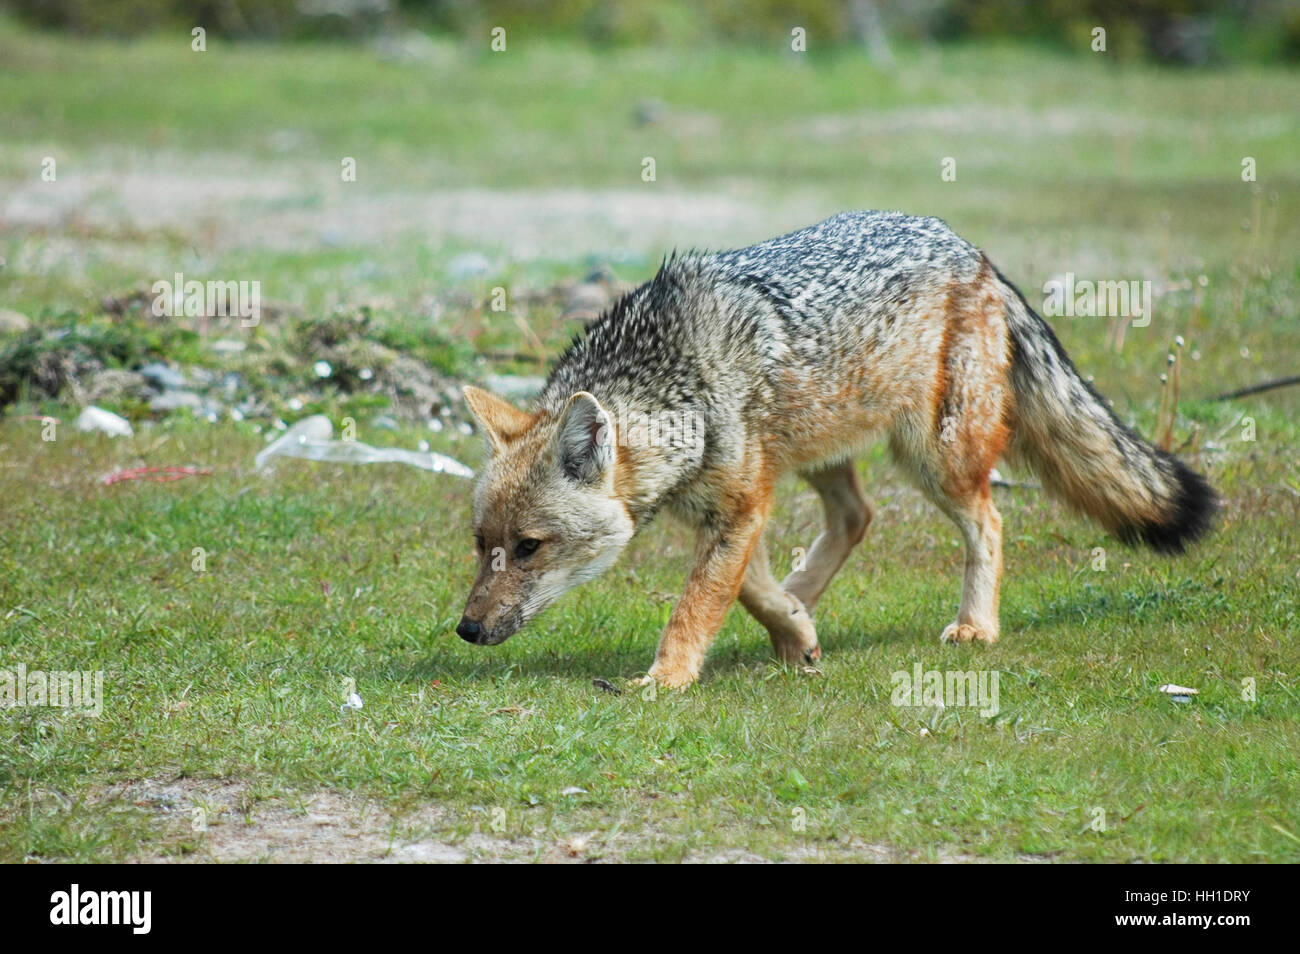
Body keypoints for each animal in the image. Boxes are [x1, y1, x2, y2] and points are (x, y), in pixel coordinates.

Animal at [457, 211, 1216, 689]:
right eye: (480, 544)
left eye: (529, 547)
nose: (464, 628)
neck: (677, 376)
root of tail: (970, 249)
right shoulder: (734, 504)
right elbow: (747, 589)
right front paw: (793, 630)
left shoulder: (739, 503)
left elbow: (699, 601)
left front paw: (666, 678)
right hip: (820, 455)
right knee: (857, 517)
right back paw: (804, 611)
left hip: (934, 458)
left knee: (989, 521)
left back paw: (976, 625)